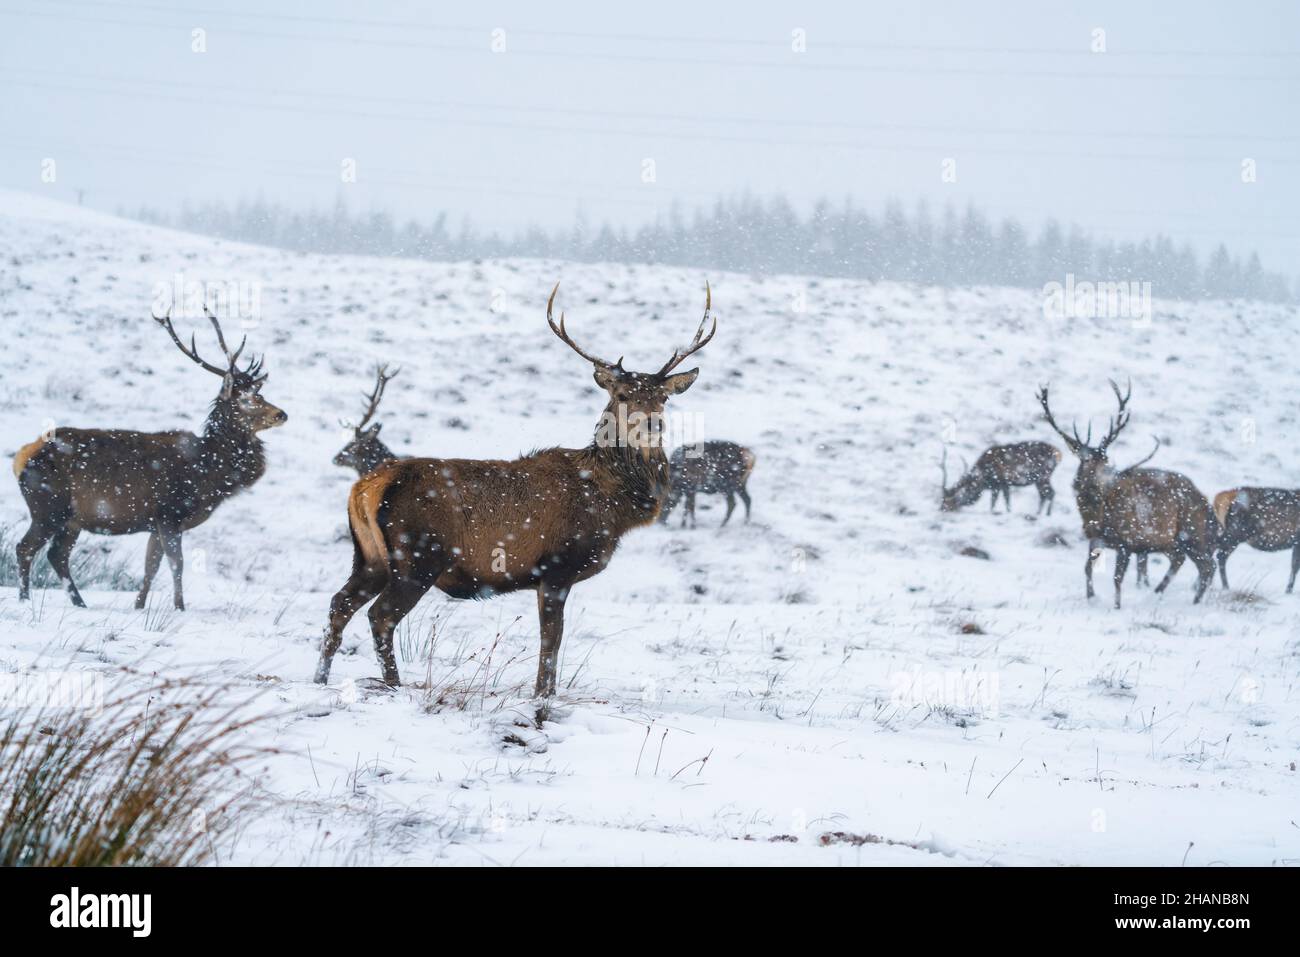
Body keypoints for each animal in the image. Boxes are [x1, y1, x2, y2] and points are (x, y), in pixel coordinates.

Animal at [12, 308, 286, 610]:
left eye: (260, 393)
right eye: (247, 399)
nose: (281, 414)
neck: (208, 474)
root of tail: (23, 456)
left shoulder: (156, 523)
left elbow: (150, 566)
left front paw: (139, 605)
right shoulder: (169, 513)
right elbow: (176, 564)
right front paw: (179, 607)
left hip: (71, 519)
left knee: (57, 555)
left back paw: (80, 603)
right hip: (47, 505)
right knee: (25, 548)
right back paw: (25, 600)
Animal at [313, 282, 717, 699]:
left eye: (662, 397)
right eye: (621, 394)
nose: (652, 424)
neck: (612, 506)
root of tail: (365, 487)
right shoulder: (556, 566)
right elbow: (551, 641)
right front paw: (543, 695)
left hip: (369, 556)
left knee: (339, 604)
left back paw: (320, 678)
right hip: (419, 555)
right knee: (380, 615)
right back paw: (393, 684)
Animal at [1037, 380, 1215, 609]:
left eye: (1105, 460)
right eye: (1085, 460)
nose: (1095, 485)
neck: (1096, 516)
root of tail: (1204, 500)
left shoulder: (1127, 541)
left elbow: (1117, 577)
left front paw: (1117, 606)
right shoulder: (1096, 538)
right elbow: (1087, 567)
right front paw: (1091, 598)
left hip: (1192, 531)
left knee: (1206, 565)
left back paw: (1194, 602)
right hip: (1171, 540)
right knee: (1183, 560)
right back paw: (1159, 594)